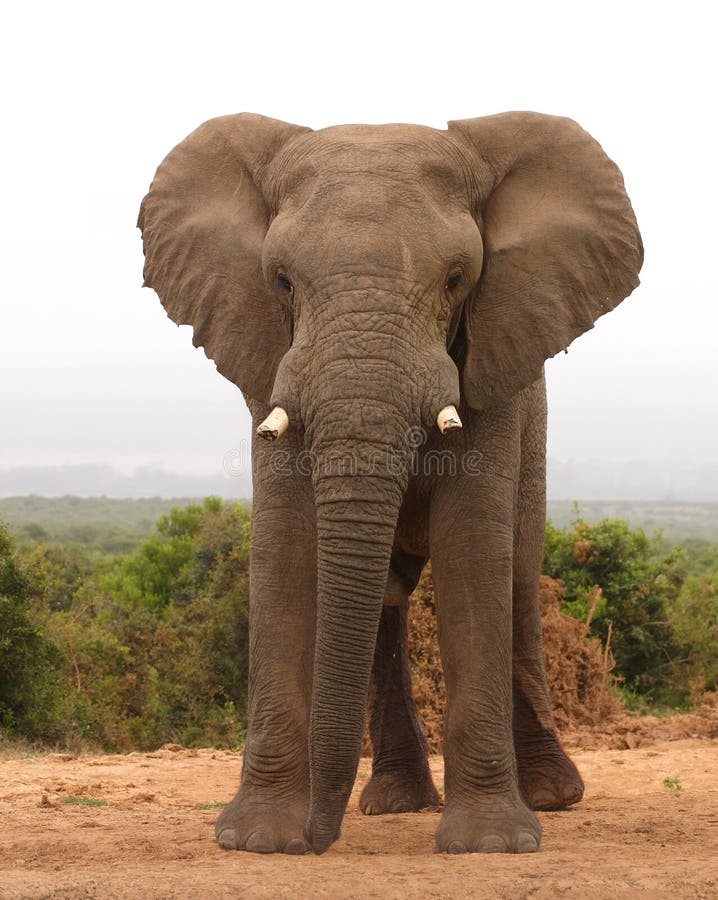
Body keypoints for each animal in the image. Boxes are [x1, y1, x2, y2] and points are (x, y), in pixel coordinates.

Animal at [138, 111, 642, 856]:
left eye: (457, 278)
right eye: (281, 282)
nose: (316, 840)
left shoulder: (492, 364)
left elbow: (473, 551)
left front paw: (491, 845)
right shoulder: (268, 357)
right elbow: (284, 550)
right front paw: (257, 839)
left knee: (517, 584)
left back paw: (552, 798)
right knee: (385, 599)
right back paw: (396, 803)